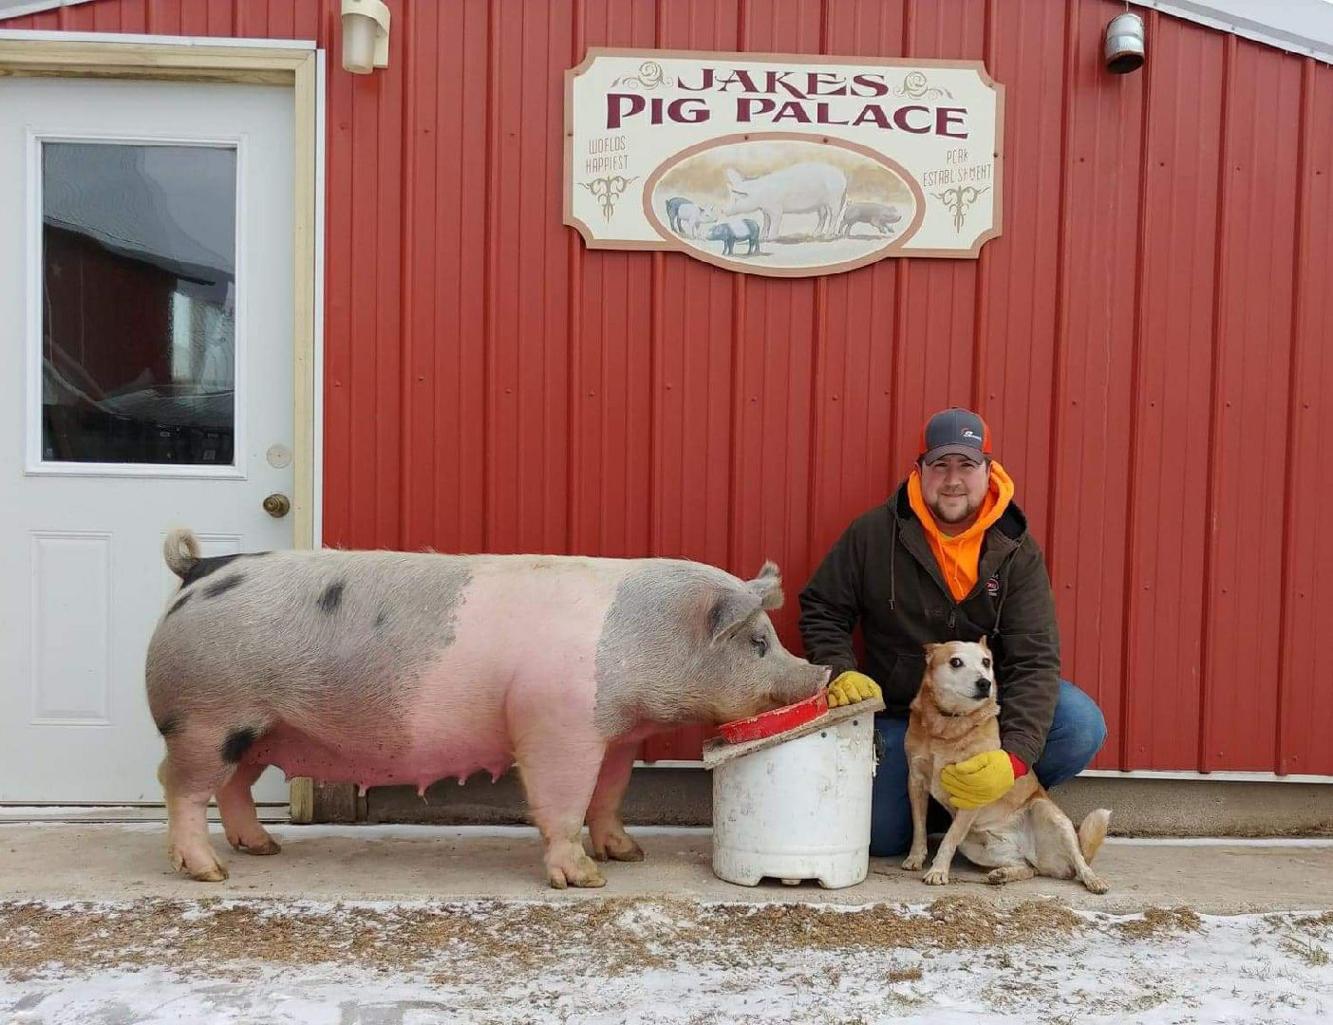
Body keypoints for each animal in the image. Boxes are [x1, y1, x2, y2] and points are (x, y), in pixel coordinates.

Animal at [146, 530, 830, 889]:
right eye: (758, 642)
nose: (819, 672)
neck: (640, 641)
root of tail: (198, 569)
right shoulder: (558, 725)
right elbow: (563, 799)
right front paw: (587, 880)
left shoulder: (616, 735)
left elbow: (608, 795)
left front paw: (627, 854)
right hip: (207, 718)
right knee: (179, 787)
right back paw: (211, 874)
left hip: (256, 730)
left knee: (233, 786)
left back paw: (262, 850)